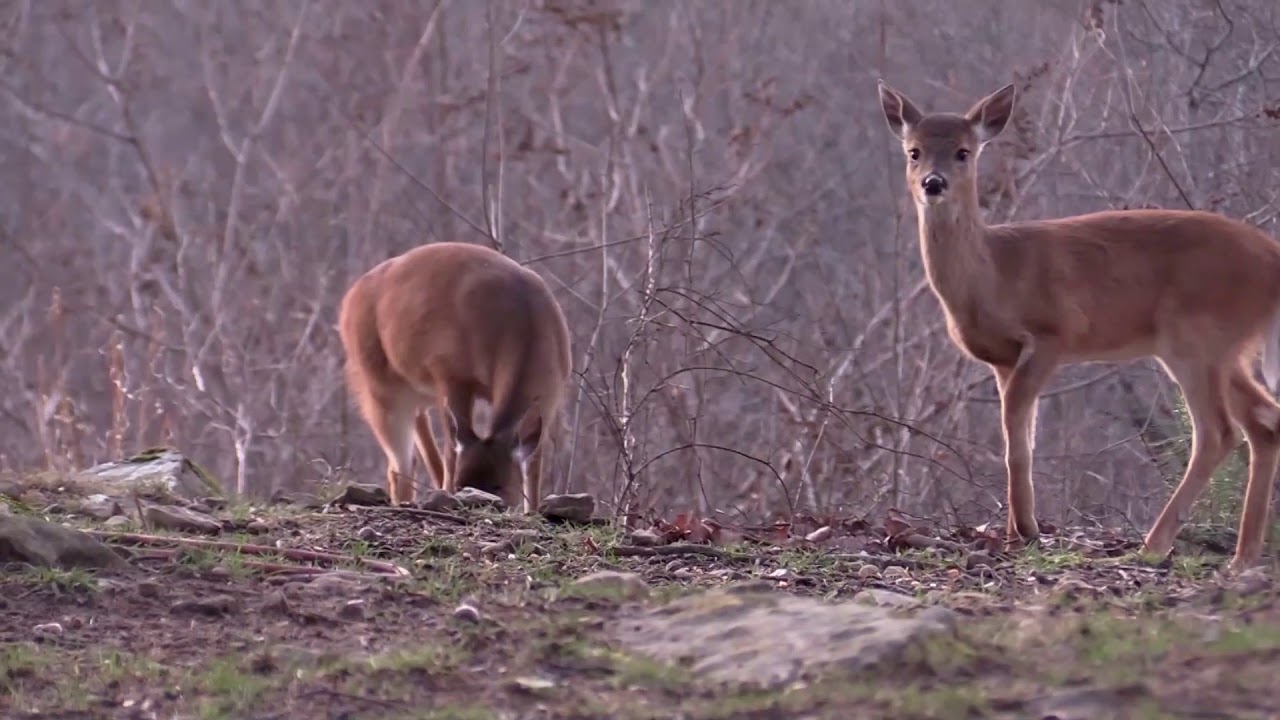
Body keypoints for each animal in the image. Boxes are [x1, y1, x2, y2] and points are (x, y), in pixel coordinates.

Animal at [337, 241, 573, 513]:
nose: (478, 505)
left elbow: (534, 461)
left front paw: (531, 510)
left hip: (417, 393)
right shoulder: (450, 373)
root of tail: (349, 299)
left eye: (501, 485)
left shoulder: (550, 397)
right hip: (380, 387)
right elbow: (452, 448)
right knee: (400, 464)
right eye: (461, 484)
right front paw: (447, 495)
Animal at [876, 79, 1280, 573]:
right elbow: (1021, 437)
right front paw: (1016, 528)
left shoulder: (1053, 333)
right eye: (913, 151)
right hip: (1228, 349)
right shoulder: (1002, 359)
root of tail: (1274, 260)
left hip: (1195, 336)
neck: (994, 274)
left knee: (1218, 432)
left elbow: (1016, 440)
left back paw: (1153, 544)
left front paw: (1026, 530)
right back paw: (1242, 556)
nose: (933, 184)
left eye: (963, 152)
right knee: (1264, 421)